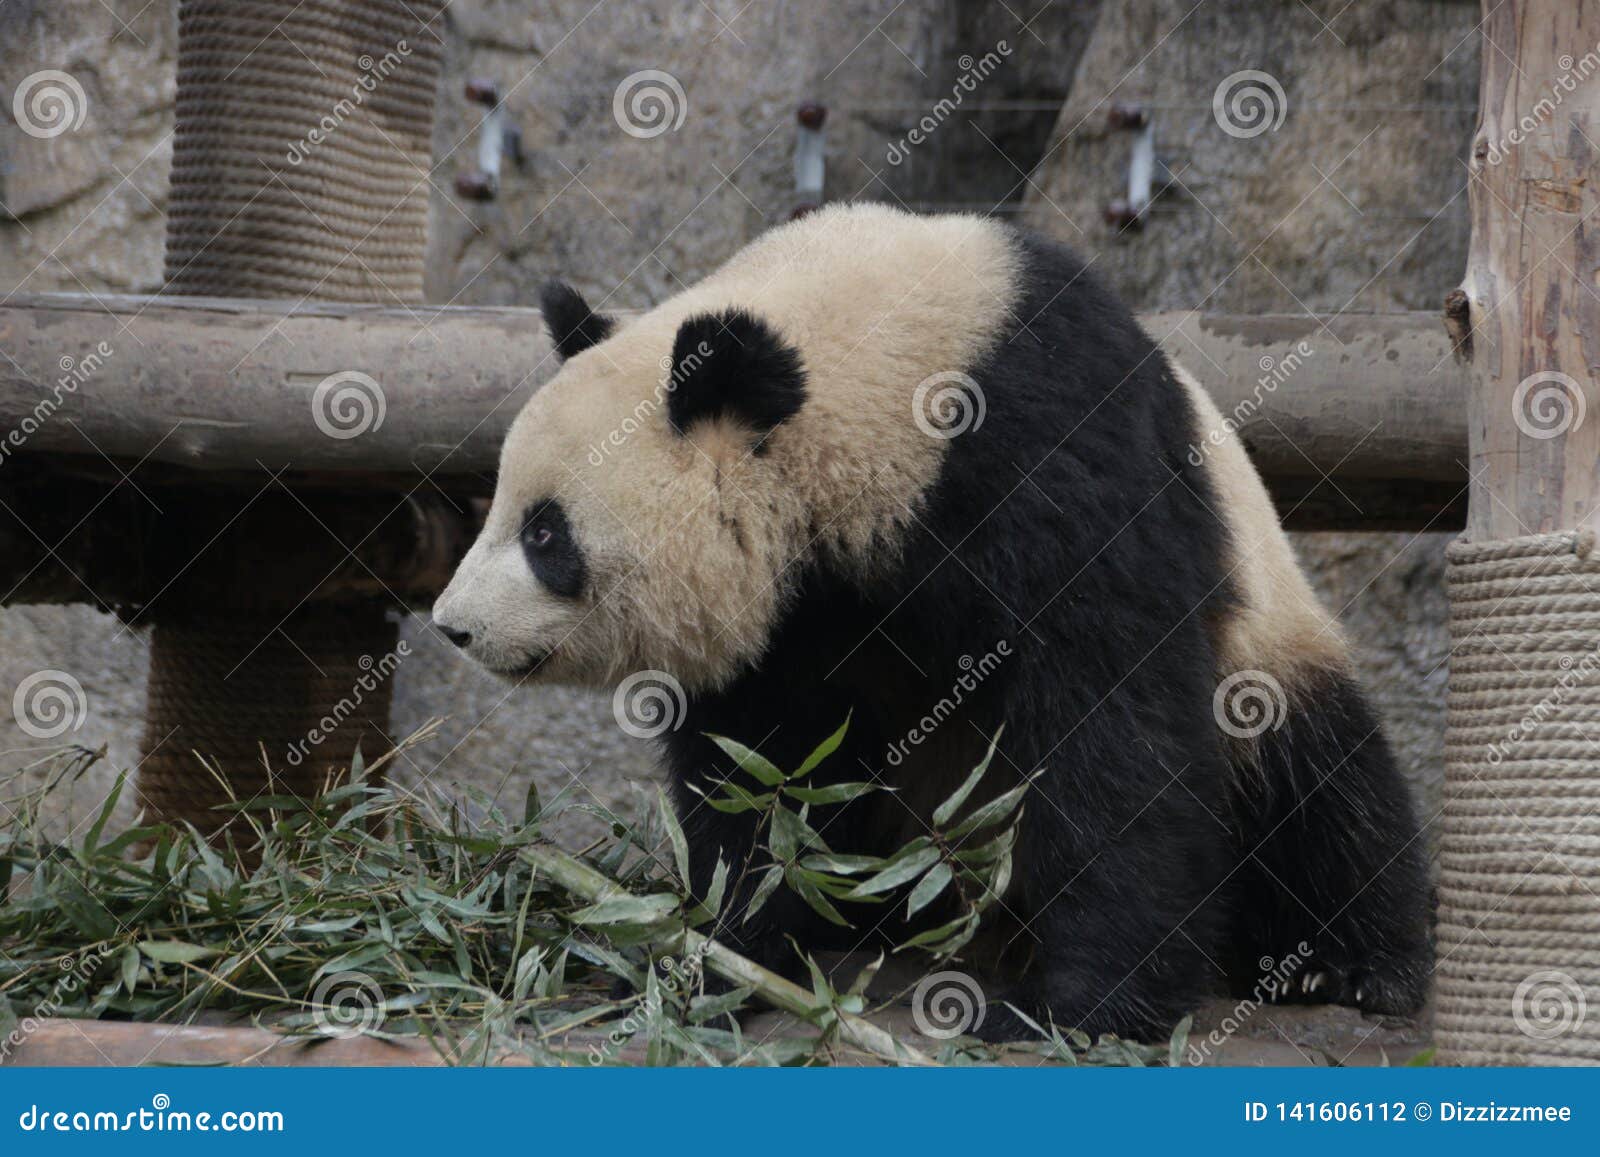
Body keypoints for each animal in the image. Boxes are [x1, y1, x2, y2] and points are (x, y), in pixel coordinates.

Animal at [432, 203, 1430, 1042]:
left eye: (545, 531)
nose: (453, 627)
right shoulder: (796, 607)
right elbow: (760, 773)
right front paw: (707, 955)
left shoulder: (1049, 445)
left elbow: (1114, 715)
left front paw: (1079, 1006)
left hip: (1271, 641)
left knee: (1321, 783)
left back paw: (1349, 964)